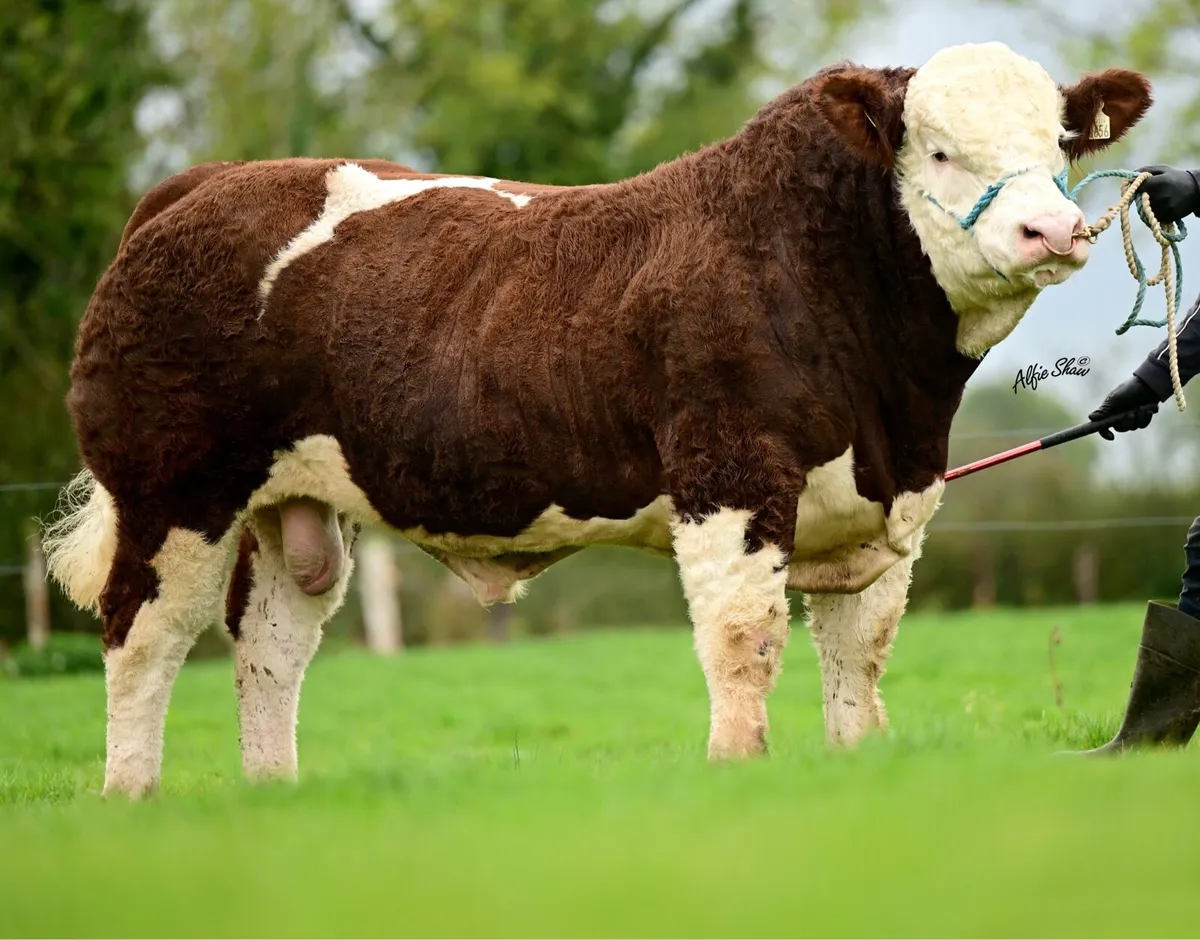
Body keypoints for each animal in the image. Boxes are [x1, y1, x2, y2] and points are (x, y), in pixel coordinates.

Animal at [43, 42, 1152, 798]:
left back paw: (274, 791)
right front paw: (737, 766)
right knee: (145, 636)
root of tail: (204, 184)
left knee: (271, 645)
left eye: (1060, 142)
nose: (1050, 228)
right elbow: (744, 638)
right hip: (172, 492)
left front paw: (856, 759)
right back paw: (133, 796)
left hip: (294, 509)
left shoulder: (884, 508)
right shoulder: (730, 476)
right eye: (941, 149)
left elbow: (859, 653)